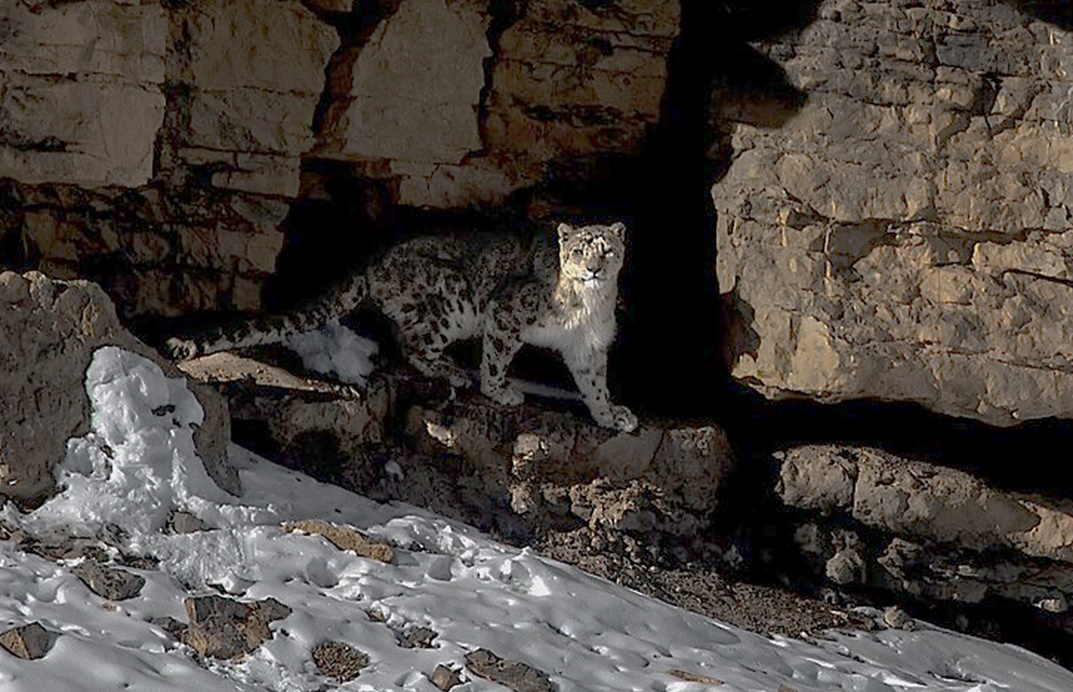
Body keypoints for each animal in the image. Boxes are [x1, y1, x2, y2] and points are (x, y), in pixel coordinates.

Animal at [166, 222, 637, 432]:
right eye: (578, 251)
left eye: (607, 250)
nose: (594, 270)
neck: (589, 307)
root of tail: (376, 259)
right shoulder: (507, 314)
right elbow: (497, 356)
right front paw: (500, 390)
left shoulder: (587, 348)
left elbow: (594, 383)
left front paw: (612, 415)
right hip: (450, 302)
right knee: (410, 343)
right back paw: (454, 371)